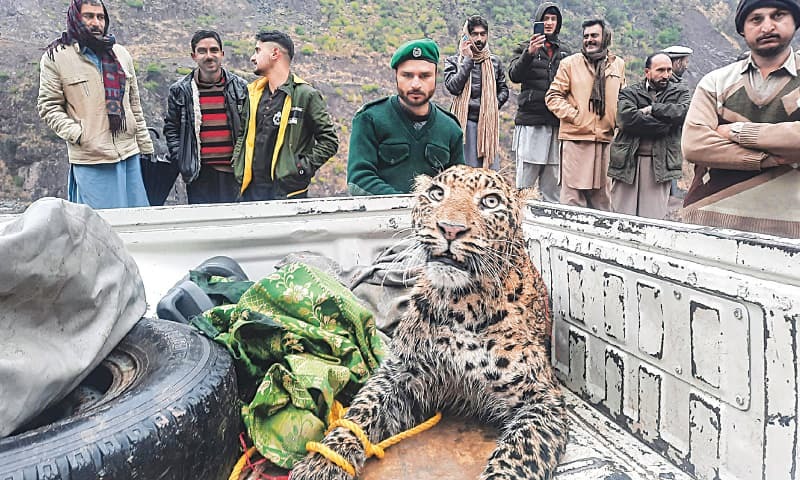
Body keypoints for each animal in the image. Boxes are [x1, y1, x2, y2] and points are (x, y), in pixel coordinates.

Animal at [291, 165, 567, 480]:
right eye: (437, 194)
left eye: (491, 202)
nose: (450, 228)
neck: (461, 306)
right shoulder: (400, 374)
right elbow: (361, 410)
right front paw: (322, 462)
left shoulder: (542, 398)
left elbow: (519, 453)